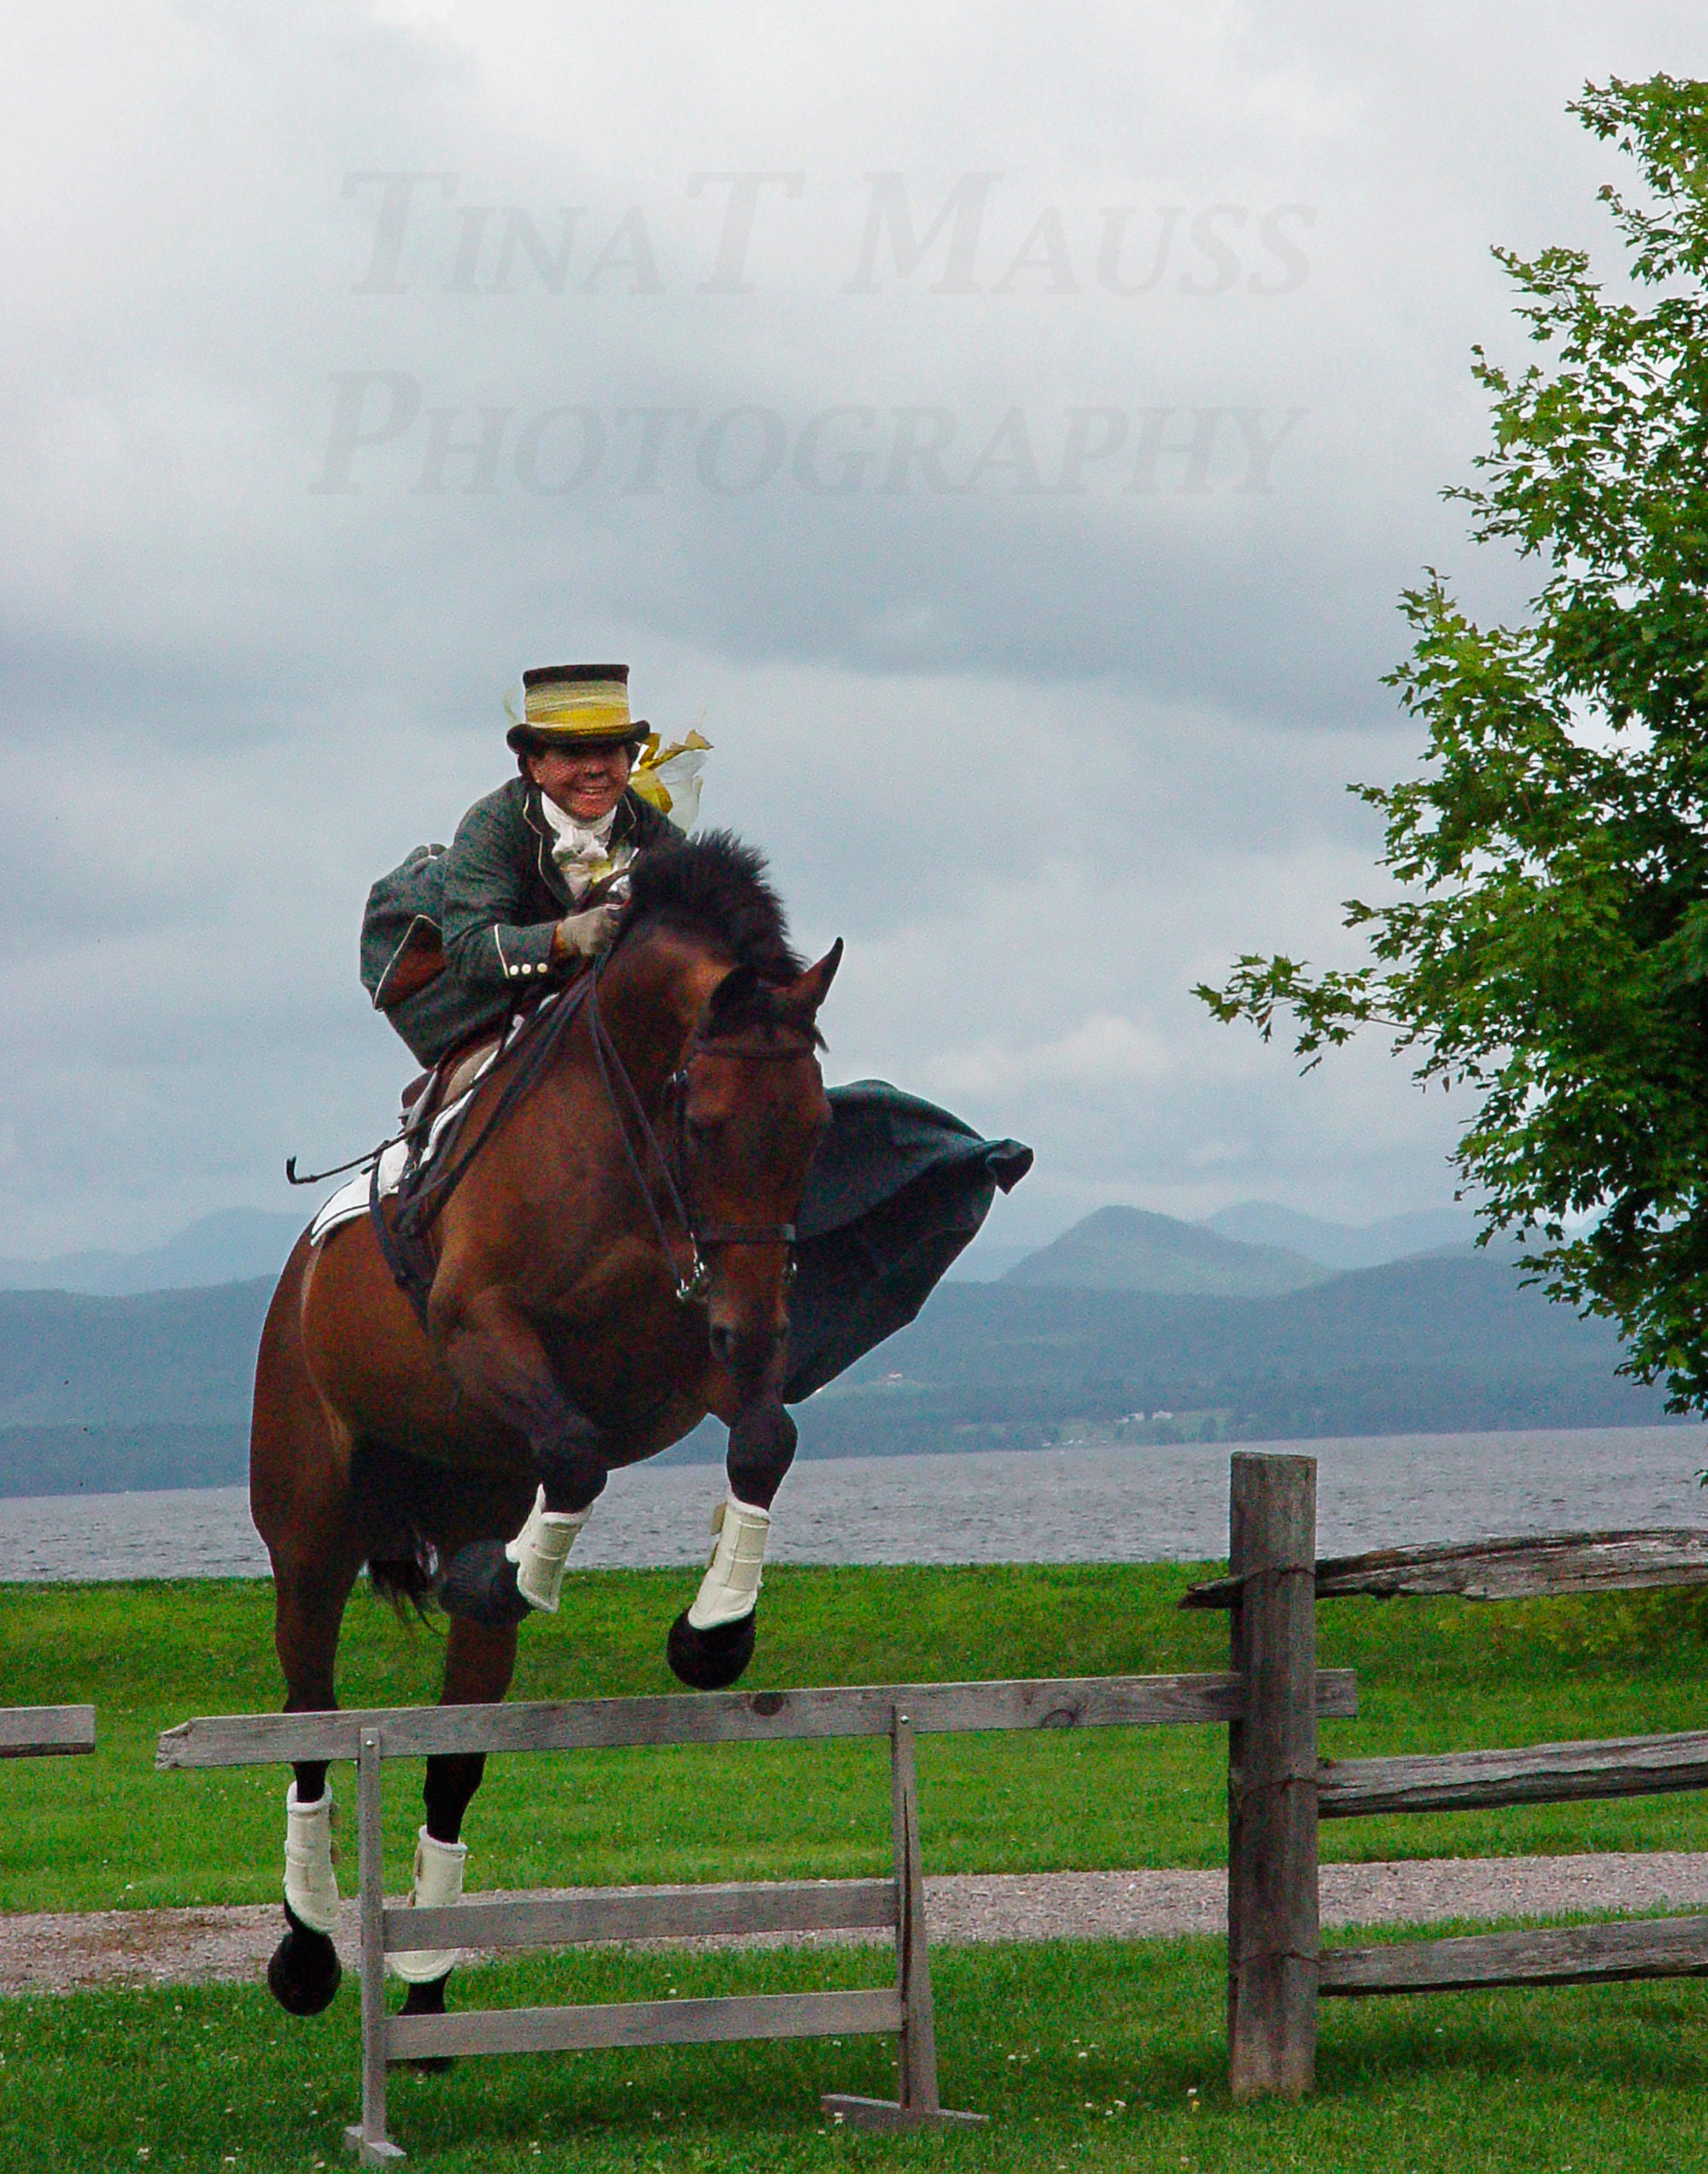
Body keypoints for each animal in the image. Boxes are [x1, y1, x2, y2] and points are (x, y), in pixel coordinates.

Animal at [249, 832, 840, 2023]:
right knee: (309, 1718)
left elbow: (762, 1440)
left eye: (817, 1128)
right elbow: (573, 1455)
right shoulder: (480, 1324)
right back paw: (308, 1947)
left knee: (454, 1757)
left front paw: (713, 1632)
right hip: (308, 1530)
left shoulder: (691, 1352)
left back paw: (425, 1970)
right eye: (702, 1121)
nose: (762, 1318)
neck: (622, 1135)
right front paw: (509, 1571)